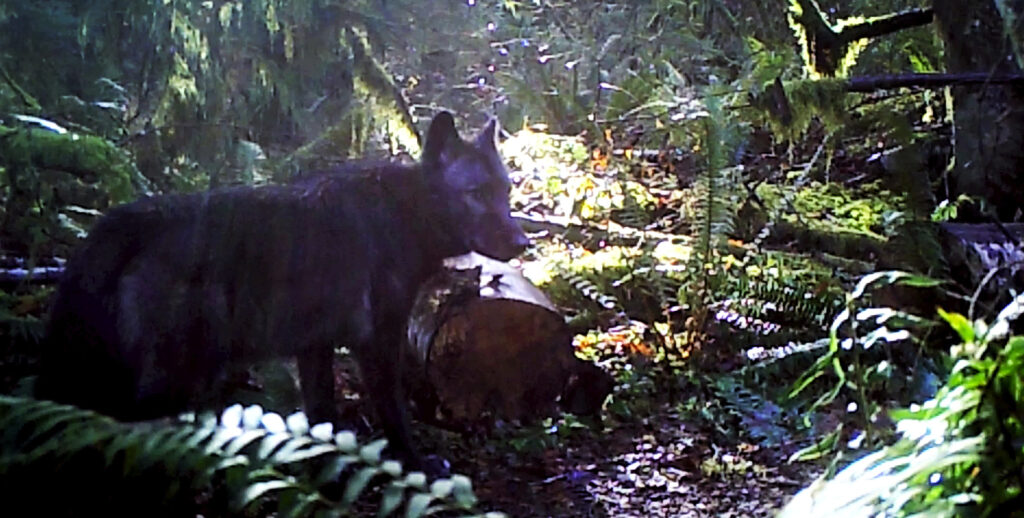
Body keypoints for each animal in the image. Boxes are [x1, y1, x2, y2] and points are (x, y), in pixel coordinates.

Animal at [37, 111, 529, 471]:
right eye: (476, 193)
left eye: (505, 191)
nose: (524, 243)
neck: (402, 214)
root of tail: (123, 220)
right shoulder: (377, 346)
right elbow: (395, 418)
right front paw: (416, 466)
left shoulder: (315, 347)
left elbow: (323, 417)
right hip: (180, 377)